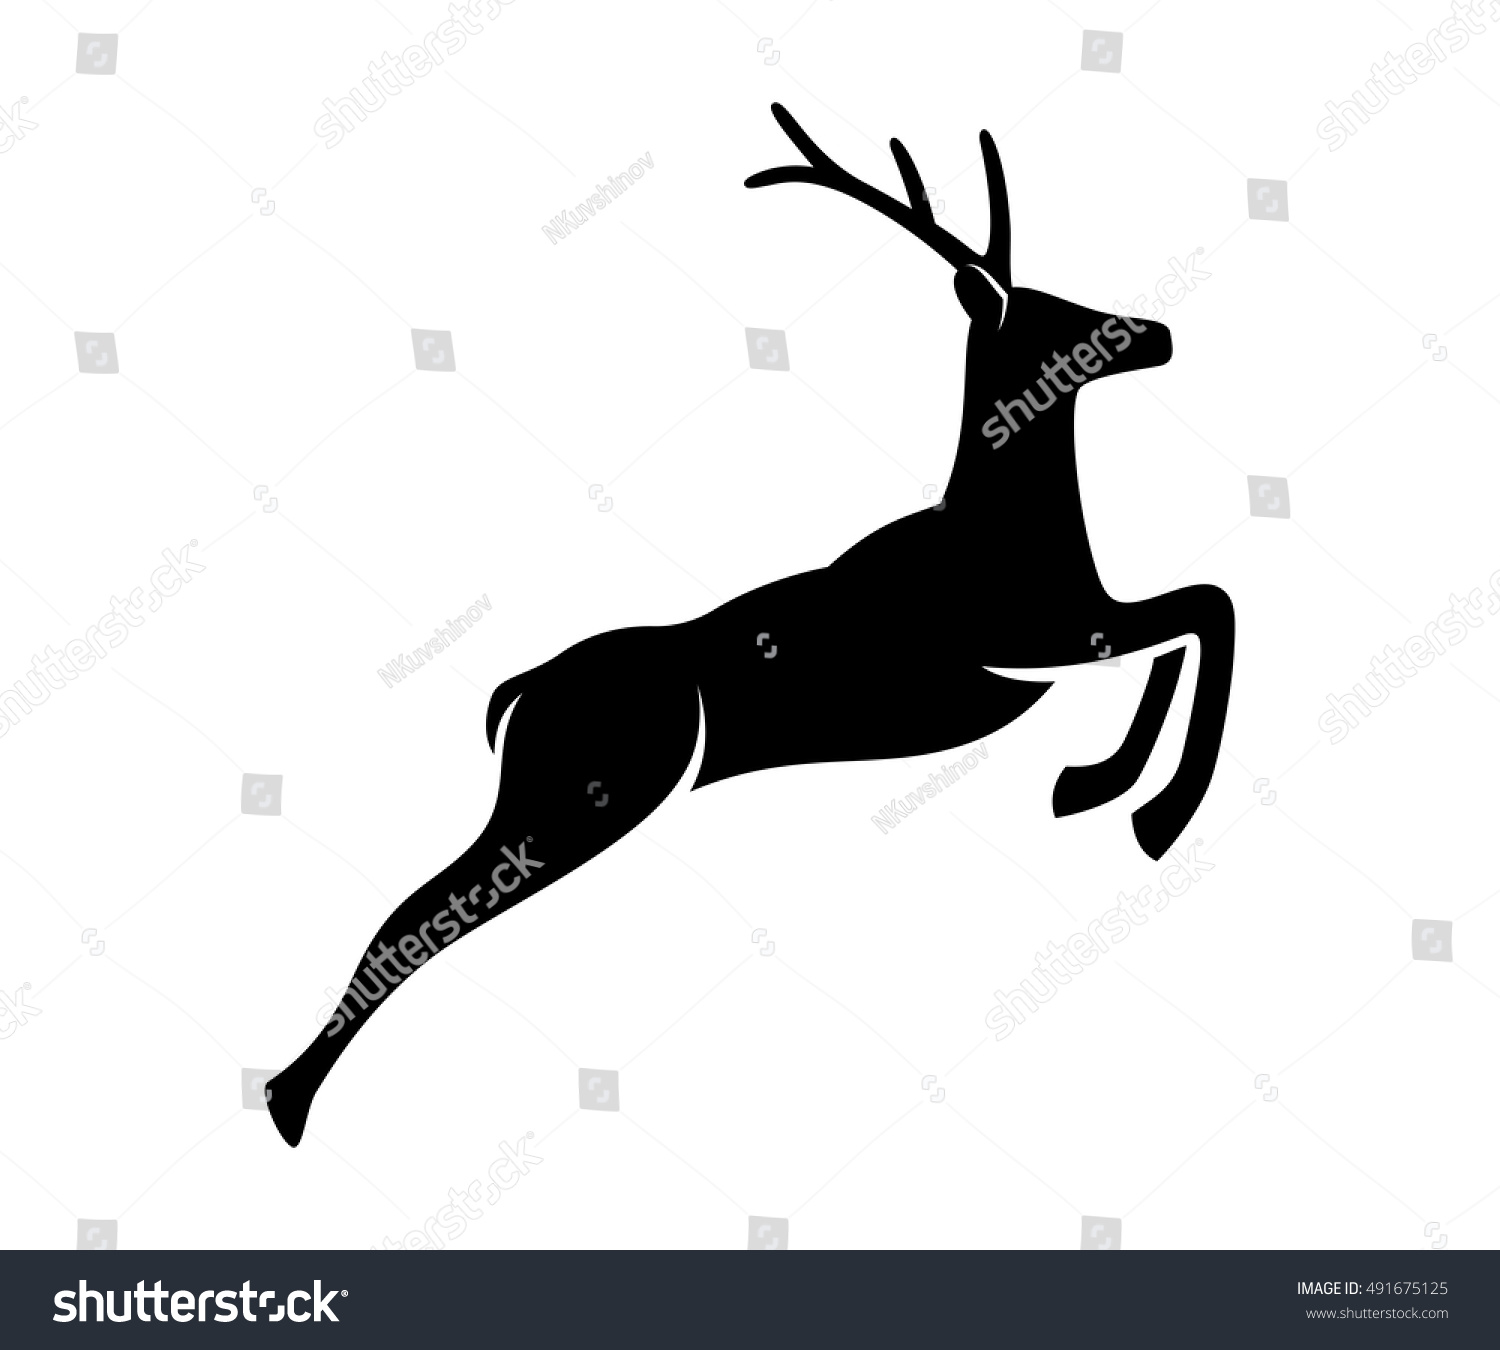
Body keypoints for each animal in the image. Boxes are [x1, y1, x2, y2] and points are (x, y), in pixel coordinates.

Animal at [266, 103, 1234, 1148]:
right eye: (1054, 314)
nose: (1157, 333)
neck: (1013, 536)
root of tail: (514, 697)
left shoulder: (1069, 633)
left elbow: (1188, 624)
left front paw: (1095, 786)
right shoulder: (1026, 639)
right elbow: (1205, 611)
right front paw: (1153, 812)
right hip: (585, 789)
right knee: (419, 913)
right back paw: (288, 1104)